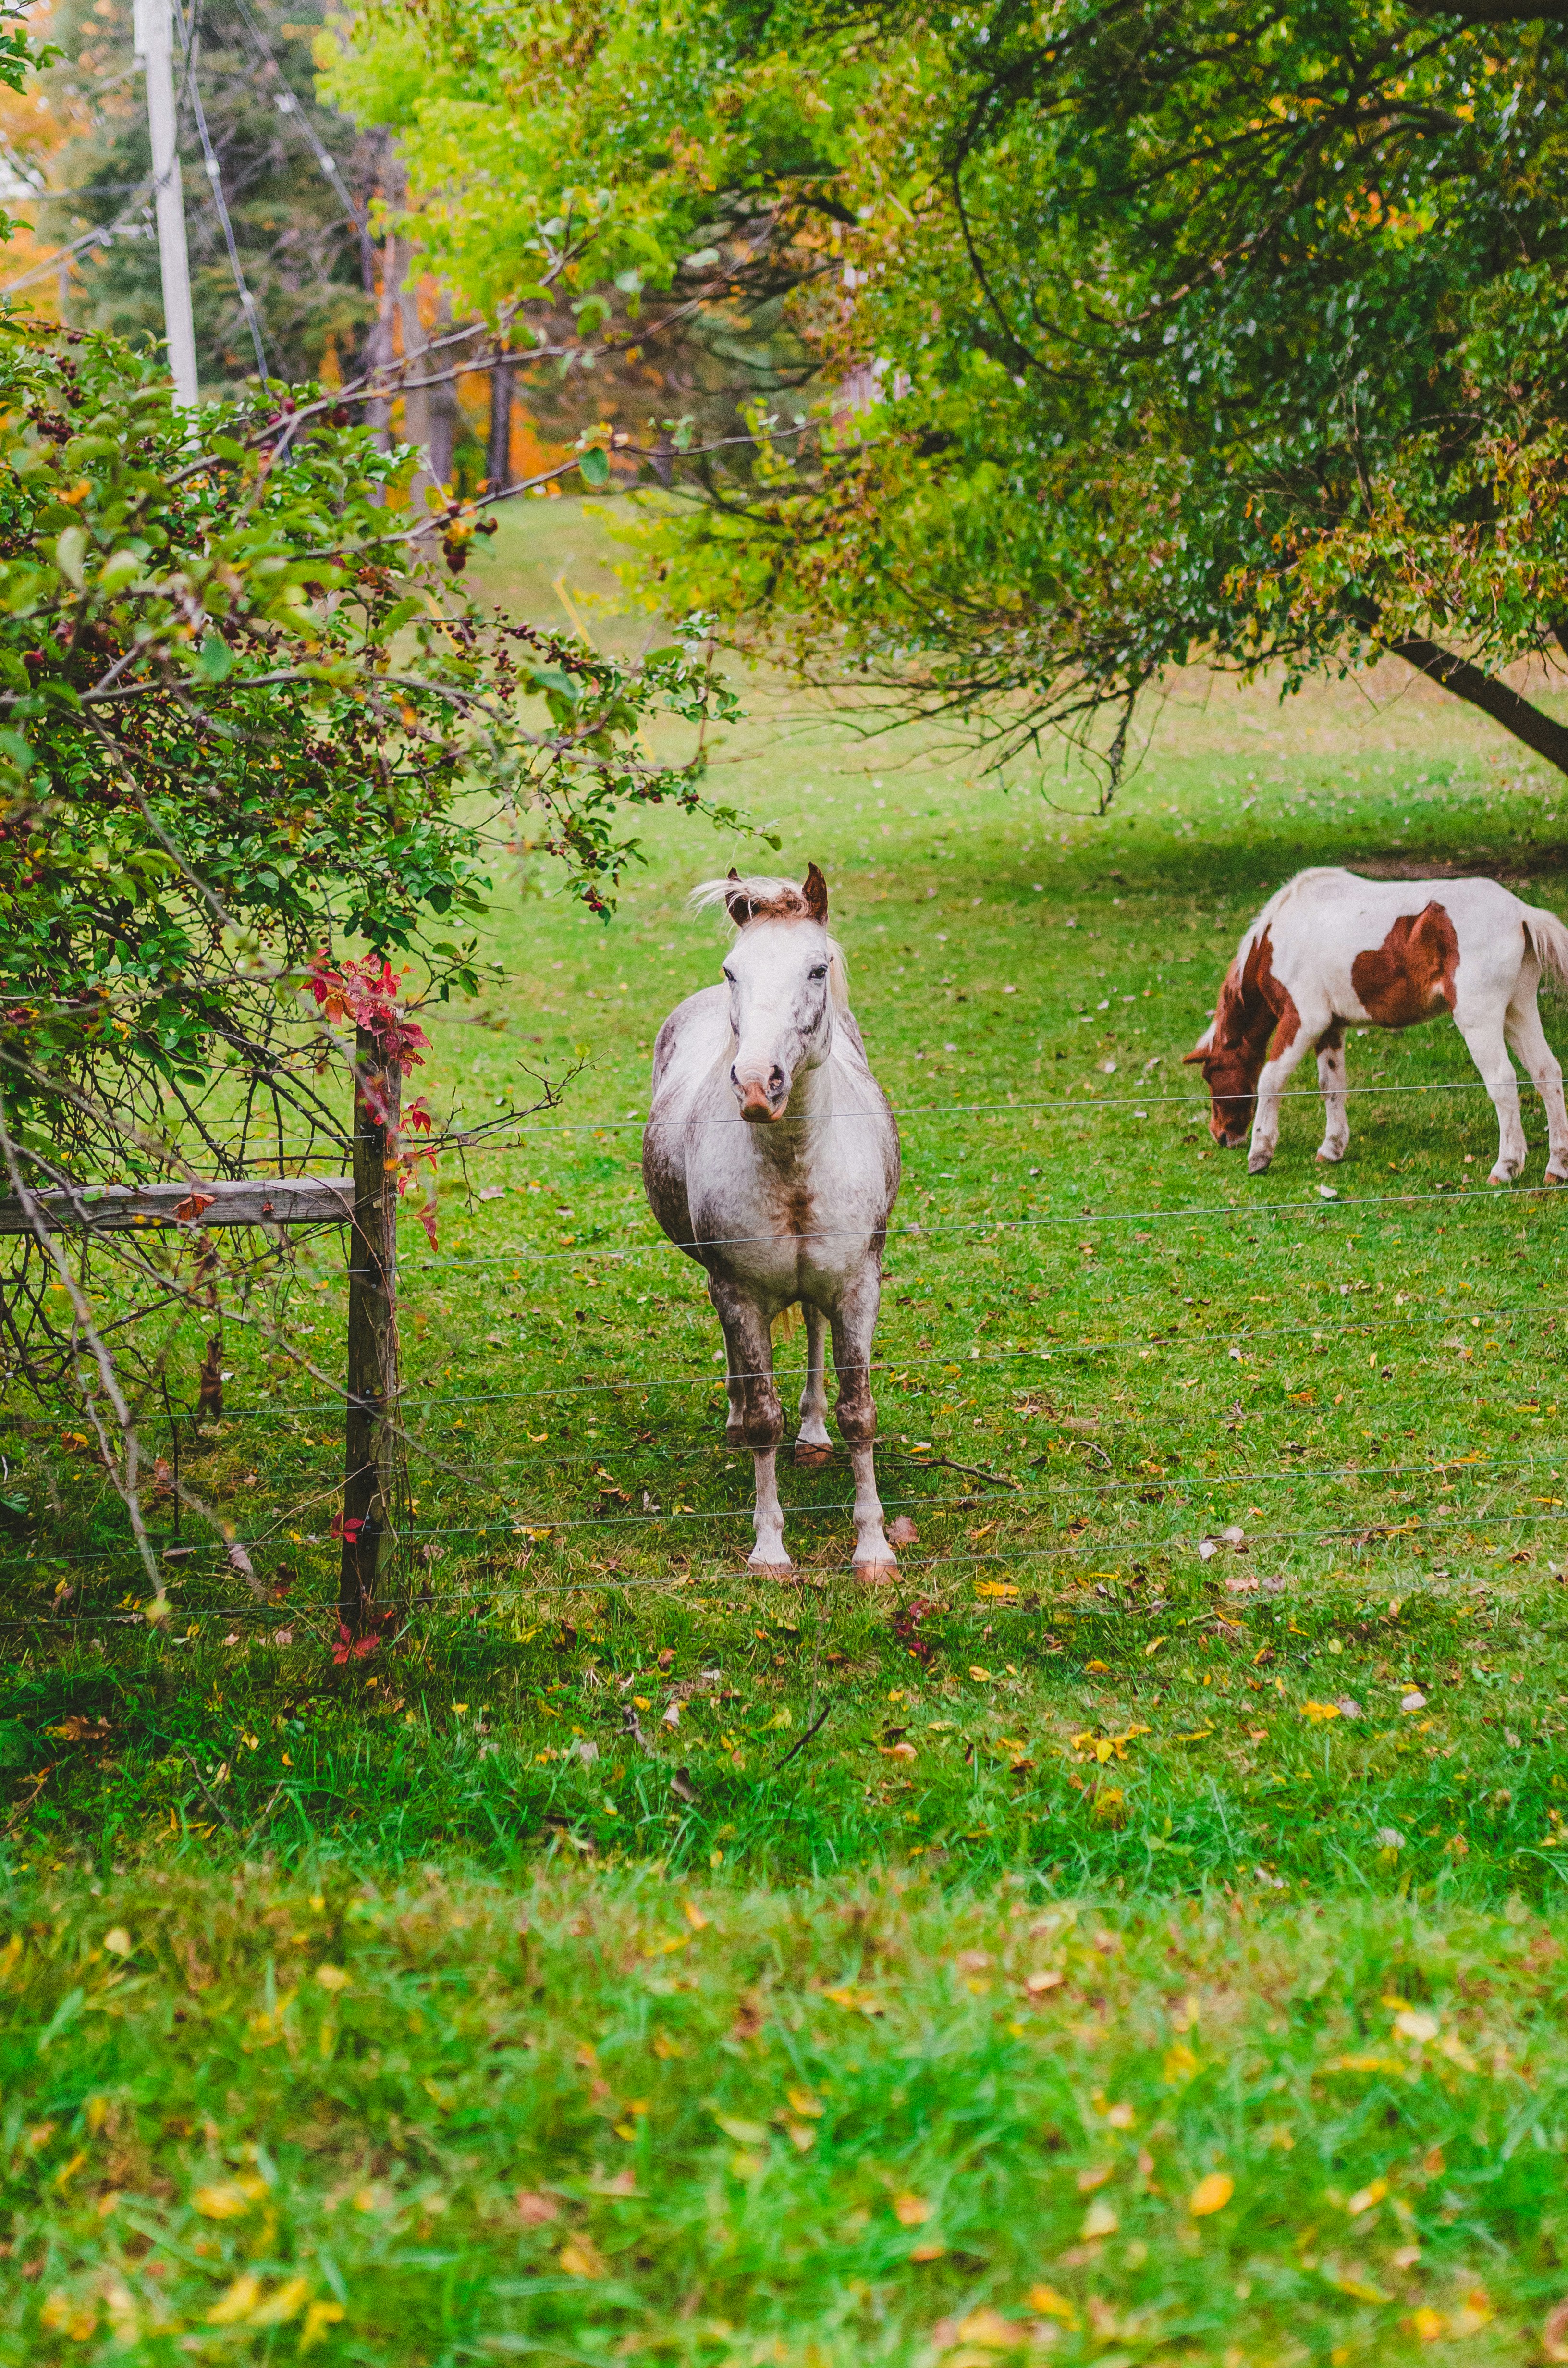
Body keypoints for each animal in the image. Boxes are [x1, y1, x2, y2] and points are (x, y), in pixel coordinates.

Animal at [642, 865, 902, 1580]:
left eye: (817, 968)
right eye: (733, 971)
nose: (759, 1084)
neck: (792, 1162)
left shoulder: (858, 1286)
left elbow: (860, 1413)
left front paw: (874, 1548)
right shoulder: (738, 1289)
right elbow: (763, 1416)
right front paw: (769, 1550)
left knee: (812, 1326)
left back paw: (812, 1433)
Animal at [1185, 867, 1568, 1182]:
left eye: (1211, 1072)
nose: (1221, 1135)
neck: (1279, 936)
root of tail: (1521, 913)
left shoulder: (1304, 1021)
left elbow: (1271, 1079)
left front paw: (1260, 1153)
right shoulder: (1331, 1028)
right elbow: (1331, 1085)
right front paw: (1332, 1148)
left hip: (1479, 1021)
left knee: (1503, 1081)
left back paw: (1506, 1167)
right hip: (1518, 1013)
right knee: (1547, 1073)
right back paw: (1556, 1167)